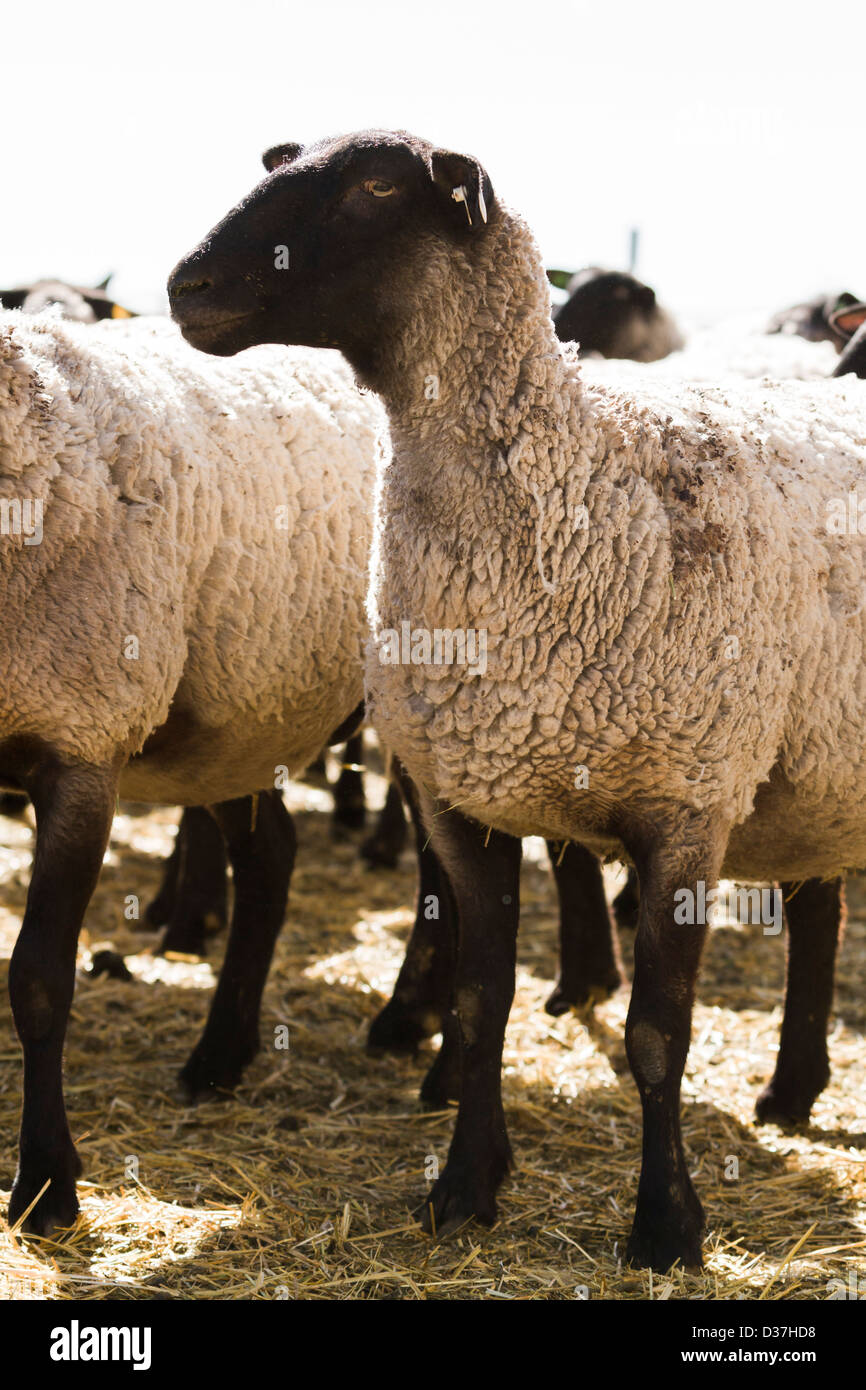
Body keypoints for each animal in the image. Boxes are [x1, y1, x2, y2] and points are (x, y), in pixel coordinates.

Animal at [0, 306, 385, 1236]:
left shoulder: (82, 747)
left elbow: (38, 981)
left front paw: (47, 1184)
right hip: (242, 726)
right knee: (272, 855)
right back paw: (221, 1056)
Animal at [168, 128, 866, 1272]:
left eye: (375, 184)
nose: (188, 288)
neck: (578, 485)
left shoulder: (685, 804)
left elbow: (656, 1031)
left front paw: (665, 1224)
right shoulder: (466, 801)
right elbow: (477, 997)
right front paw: (464, 1185)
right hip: (815, 759)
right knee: (819, 906)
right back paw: (791, 1088)